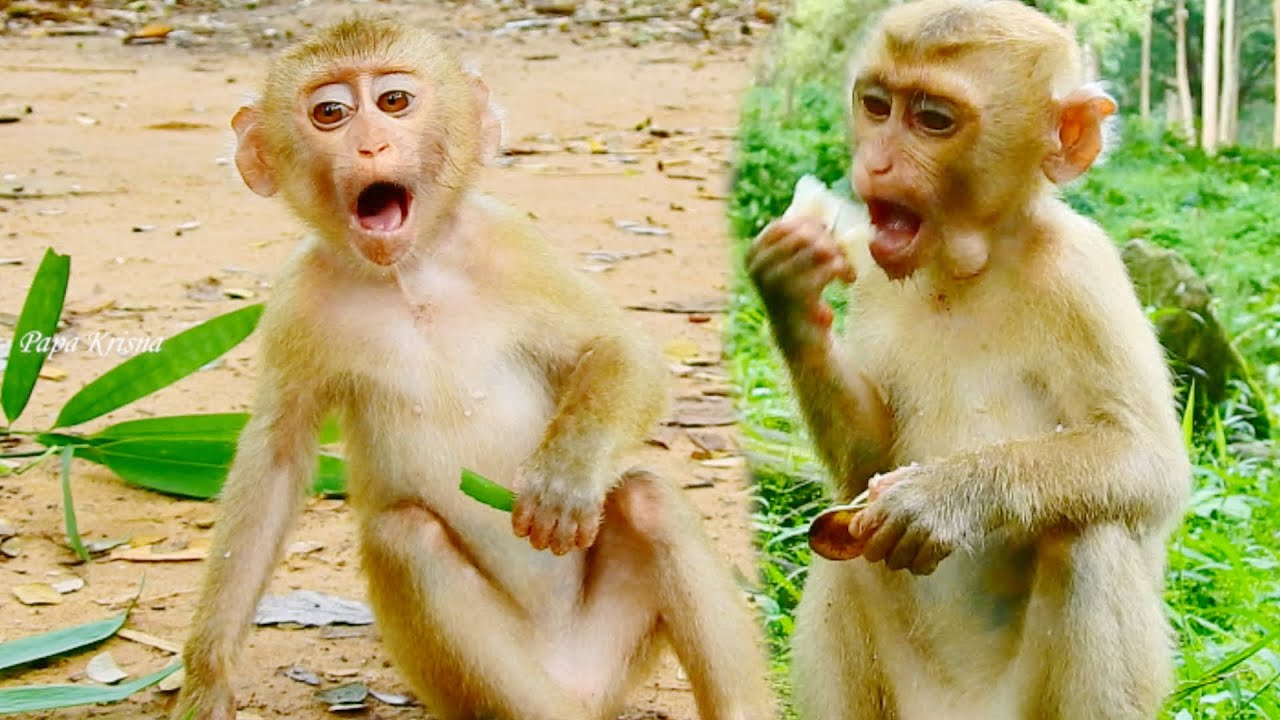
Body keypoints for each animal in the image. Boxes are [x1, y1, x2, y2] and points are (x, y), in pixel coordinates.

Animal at [172, 17, 772, 720]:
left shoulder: (510, 242)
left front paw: (564, 476)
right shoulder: (299, 300)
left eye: (394, 101)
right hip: (468, 686)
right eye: (331, 113)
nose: (372, 145)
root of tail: (578, 680)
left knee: (647, 500)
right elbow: (276, 459)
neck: (410, 276)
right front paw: (208, 675)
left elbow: (621, 351)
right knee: (406, 538)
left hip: (618, 652)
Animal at [745, 1, 1190, 718]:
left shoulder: (1083, 272)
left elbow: (1145, 458)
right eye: (876, 106)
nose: (875, 165)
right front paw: (788, 288)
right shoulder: (876, 278)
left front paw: (940, 497)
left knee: (1087, 534)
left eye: (933, 120)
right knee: (845, 553)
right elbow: (867, 462)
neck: (972, 265)